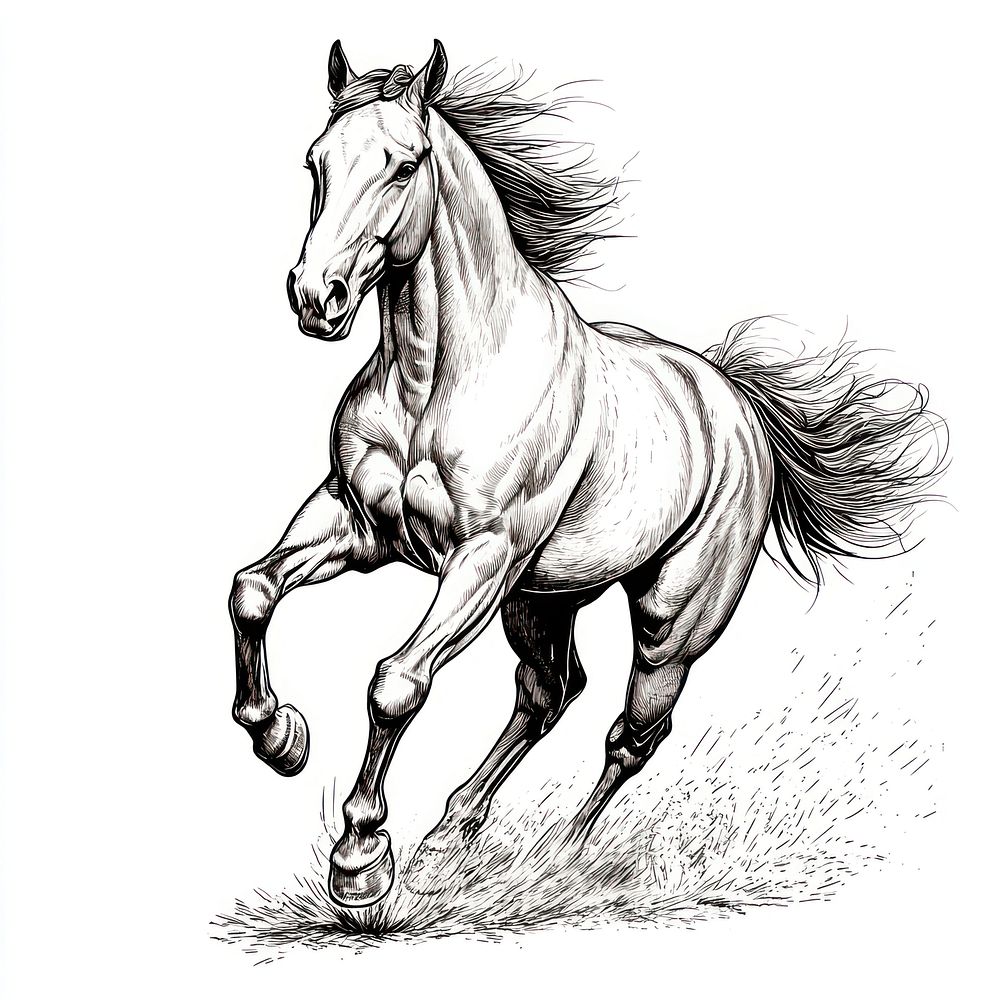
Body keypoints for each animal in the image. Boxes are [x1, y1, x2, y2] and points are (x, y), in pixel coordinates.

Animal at [229, 40, 946, 908]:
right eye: (316, 163)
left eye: (404, 165)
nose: (316, 297)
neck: (435, 381)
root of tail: (736, 404)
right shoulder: (357, 525)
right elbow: (252, 590)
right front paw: (280, 736)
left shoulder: (483, 558)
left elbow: (396, 682)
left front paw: (360, 857)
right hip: (543, 598)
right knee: (549, 692)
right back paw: (450, 838)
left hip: (668, 626)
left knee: (631, 734)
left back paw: (562, 856)